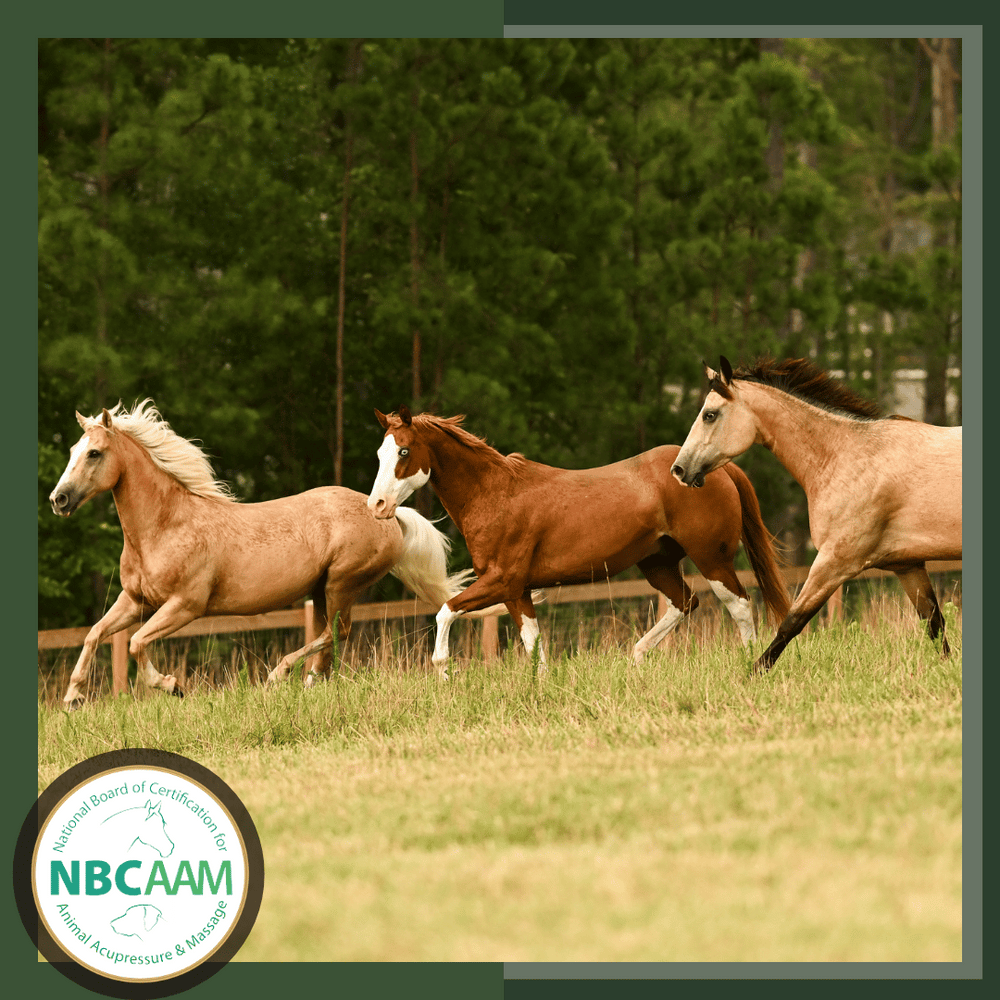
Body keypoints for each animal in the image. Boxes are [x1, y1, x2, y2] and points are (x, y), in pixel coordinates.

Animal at [48, 400, 499, 705]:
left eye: (94, 453)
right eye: (71, 451)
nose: (59, 499)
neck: (165, 526)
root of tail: (386, 513)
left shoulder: (185, 606)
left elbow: (137, 644)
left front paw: (173, 685)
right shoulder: (136, 600)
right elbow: (94, 633)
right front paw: (73, 698)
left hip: (341, 584)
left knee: (334, 634)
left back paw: (279, 675)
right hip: (322, 590)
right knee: (329, 642)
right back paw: (309, 686)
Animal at [366, 407, 790, 677]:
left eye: (404, 450)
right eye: (379, 452)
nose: (377, 506)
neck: (494, 495)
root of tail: (716, 469)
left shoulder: (501, 581)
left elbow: (445, 612)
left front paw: (444, 674)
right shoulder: (517, 592)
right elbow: (534, 647)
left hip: (712, 559)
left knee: (739, 605)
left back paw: (750, 666)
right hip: (657, 562)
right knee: (684, 602)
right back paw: (635, 661)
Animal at [671, 356, 962, 672]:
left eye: (709, 415)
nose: (679, 469)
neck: (846, 457)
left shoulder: (834, 563)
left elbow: (792, 622)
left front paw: (752, 674)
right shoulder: (908, 566)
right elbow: (934, 623)